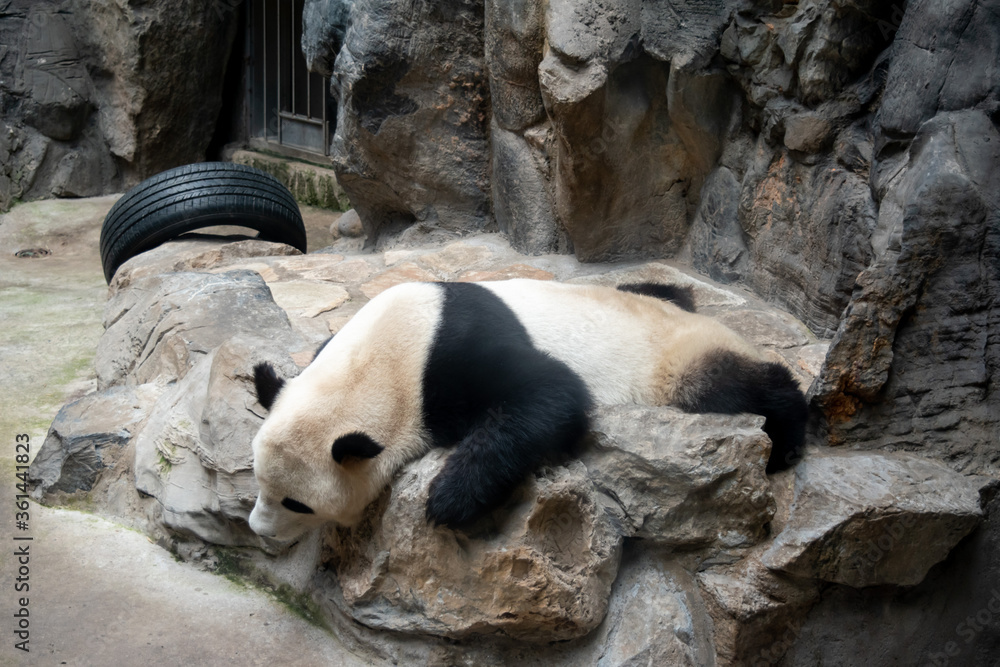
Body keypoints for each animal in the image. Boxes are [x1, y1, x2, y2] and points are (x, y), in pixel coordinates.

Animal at [248, 279, 807, 541]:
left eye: (297, 503)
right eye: (259, 484)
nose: (259, 529)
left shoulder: (449, 360)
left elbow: (553, 395)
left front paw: (448, 499)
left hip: (675, 363)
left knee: (730, 388)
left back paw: (787, 438)